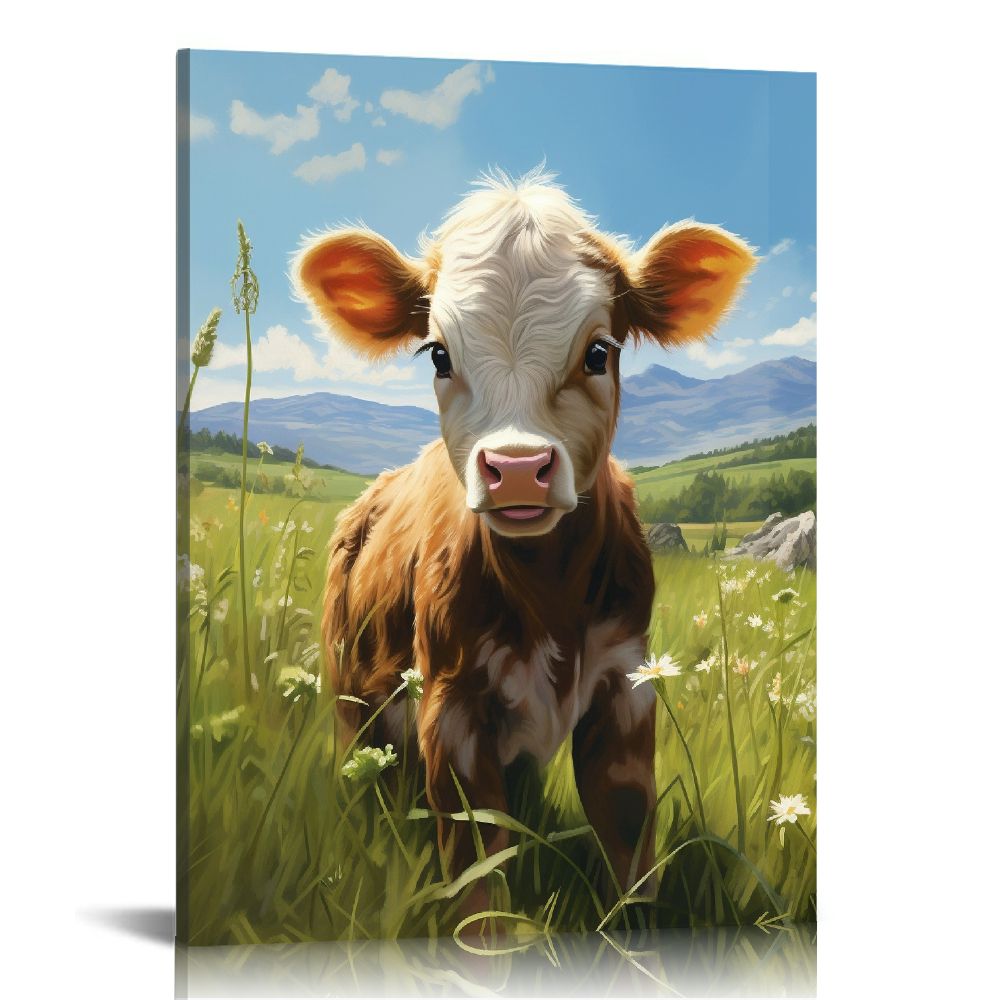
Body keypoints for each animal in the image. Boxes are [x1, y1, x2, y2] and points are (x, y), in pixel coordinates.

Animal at [292, 169, 755, 910]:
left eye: (598, 351)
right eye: (439, 354)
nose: (514, 468)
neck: (547, 594)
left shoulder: (626, 684)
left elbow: (627, 831)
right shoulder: (449, 707)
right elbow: (477, 862)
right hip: (352, 698)